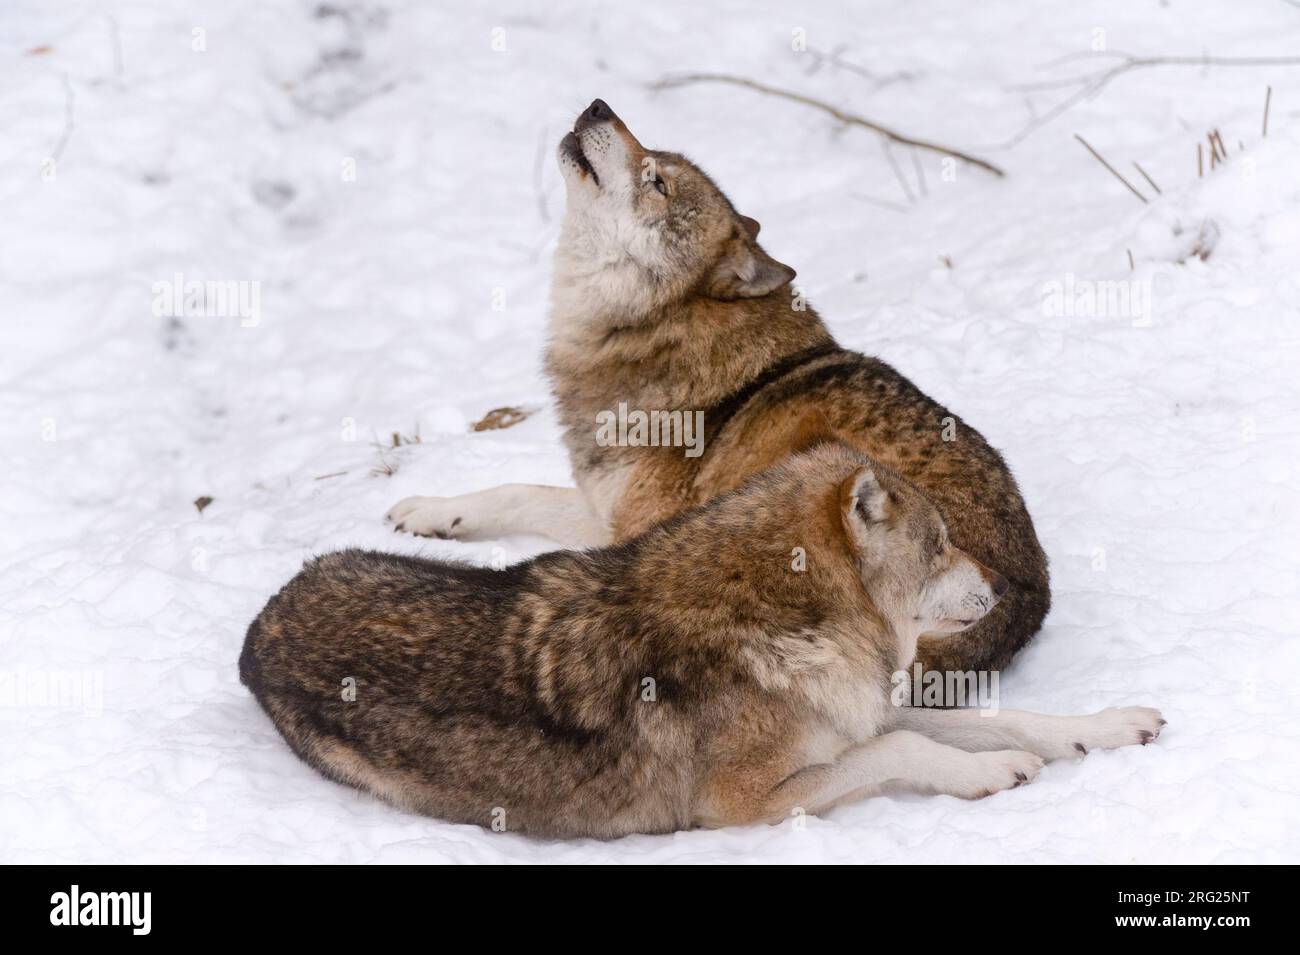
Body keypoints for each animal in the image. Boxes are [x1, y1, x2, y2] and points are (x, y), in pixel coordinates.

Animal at [246, 443, 1162, 838]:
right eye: (940, 543)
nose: (1003, 587)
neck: (784, 617)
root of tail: (258, 628)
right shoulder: (745, 801)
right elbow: (910, 746)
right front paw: (992, 772)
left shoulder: (855, 711)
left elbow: (997, 718)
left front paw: (1107, 726)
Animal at [386, 98, 1050, 676]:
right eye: (652, 155)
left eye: (657, 180)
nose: (598, 106)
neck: (649, 328)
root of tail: (1023, 598)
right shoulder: (608, 512)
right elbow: (516, 490)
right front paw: (432, 512)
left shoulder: (635, 527)